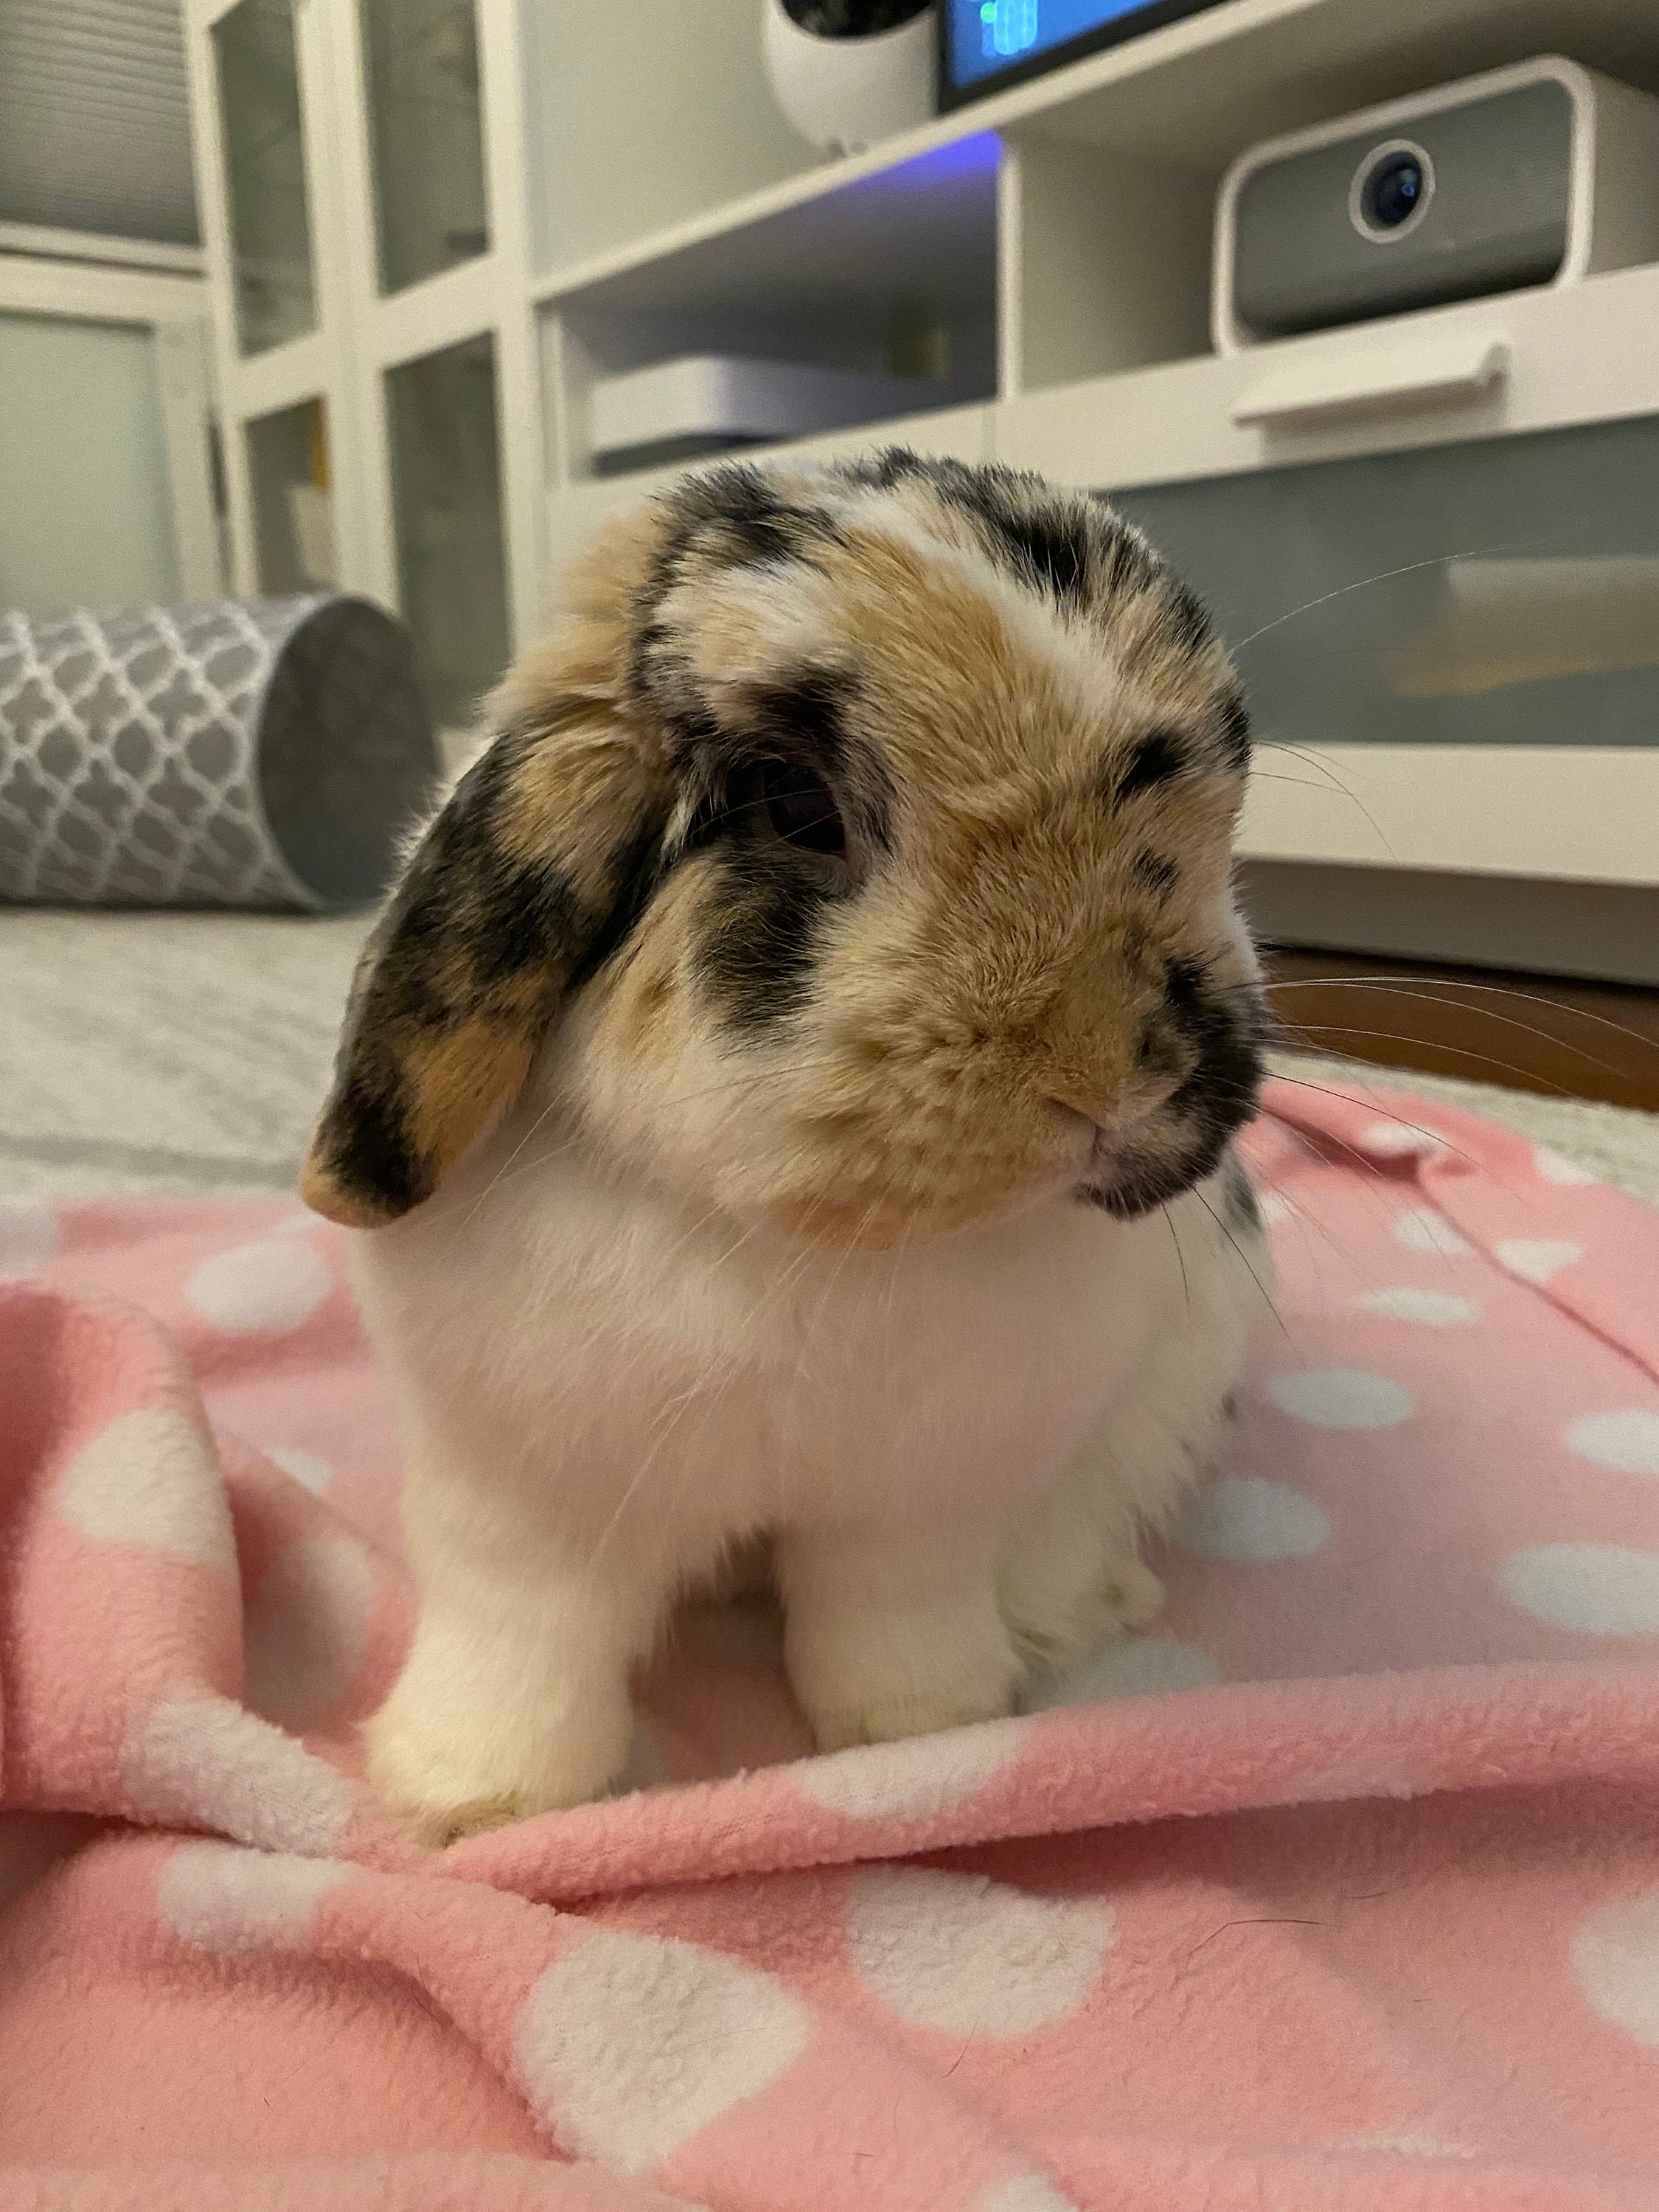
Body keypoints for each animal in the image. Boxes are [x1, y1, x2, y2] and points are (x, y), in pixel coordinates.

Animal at [300, 451, 1273, 1844]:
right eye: (792, 802)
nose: (1109, 1075)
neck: (803, 1238)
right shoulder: (528, 1489)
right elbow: (522, 1636)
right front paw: (473, 1800)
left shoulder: (922, 1505)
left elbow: (891, 1623)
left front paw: (929, 1733)